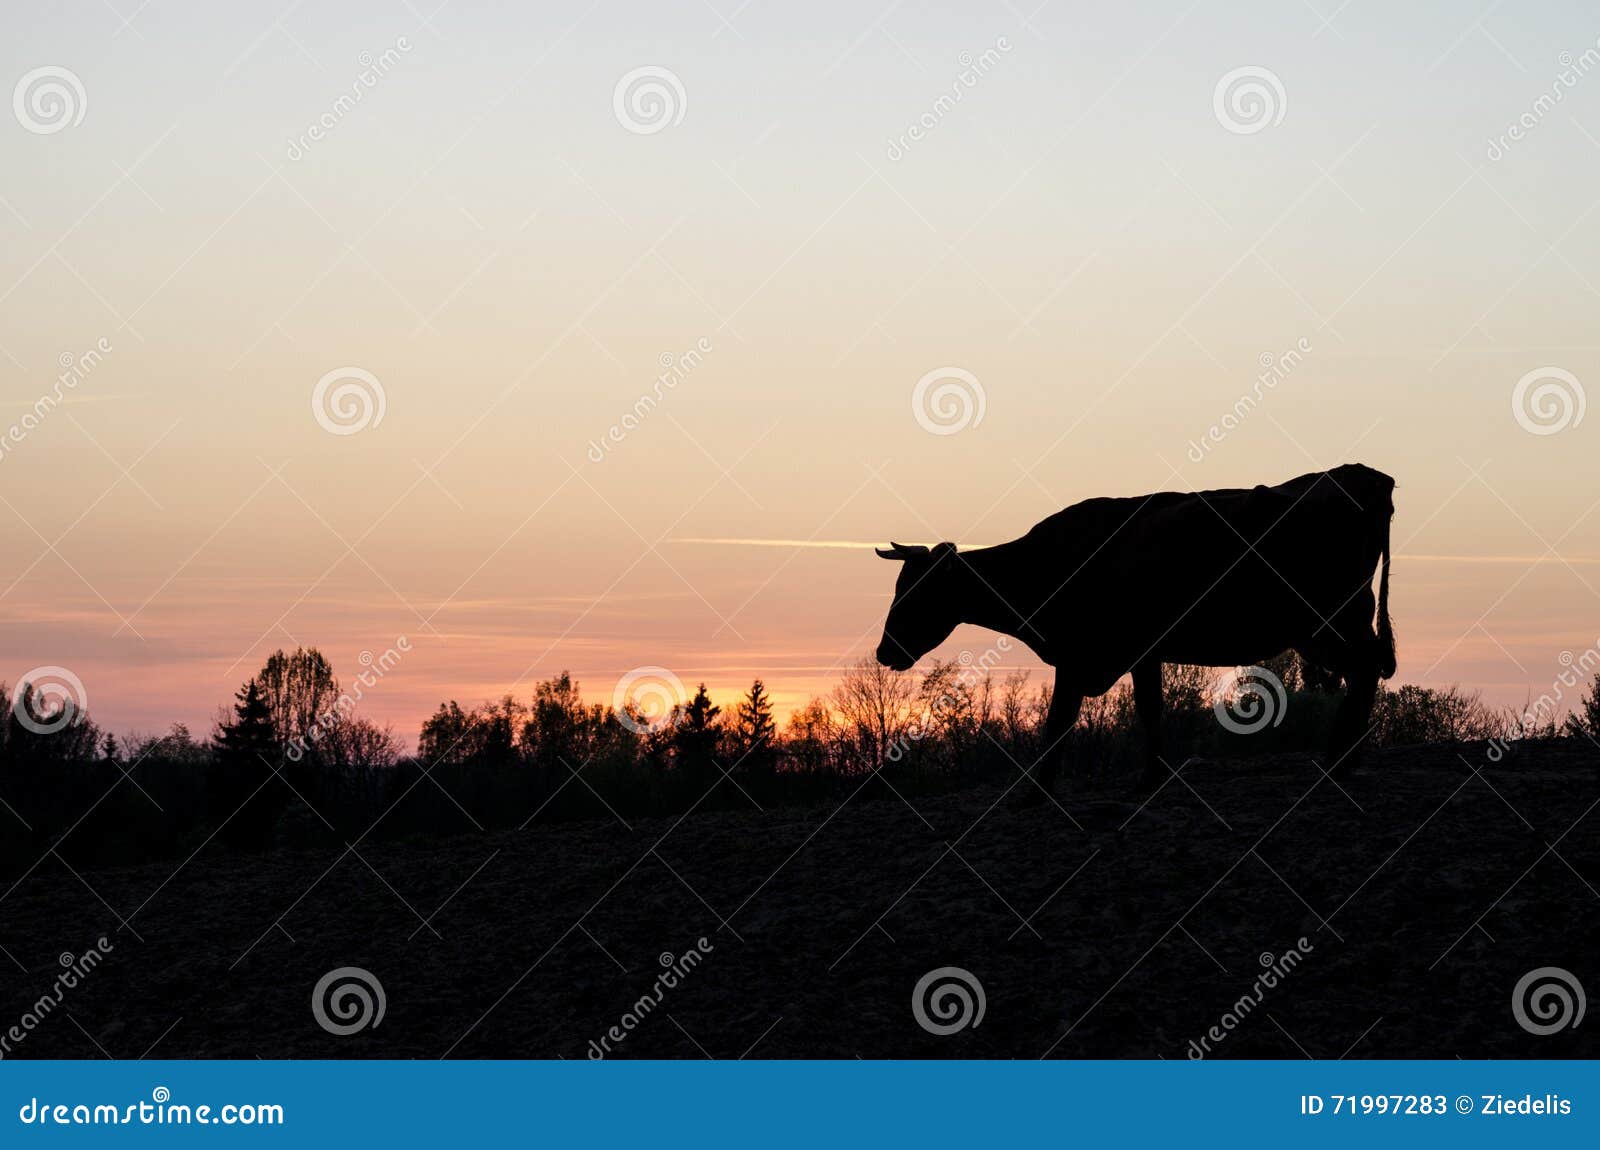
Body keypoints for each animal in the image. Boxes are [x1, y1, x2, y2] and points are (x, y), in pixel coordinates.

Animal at [873, 464, 1396, 801]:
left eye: (915, 592)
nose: (884, 652)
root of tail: (1364, 475)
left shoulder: (1077, 655)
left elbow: (1058, 721)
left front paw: (1038, 790)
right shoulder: (1143, 653)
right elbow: (1150, 708)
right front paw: (1151, 778)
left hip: (1327, 621)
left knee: (1364, 670)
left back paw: (1338, 760)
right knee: (1364, 671)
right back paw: (1345, 759)